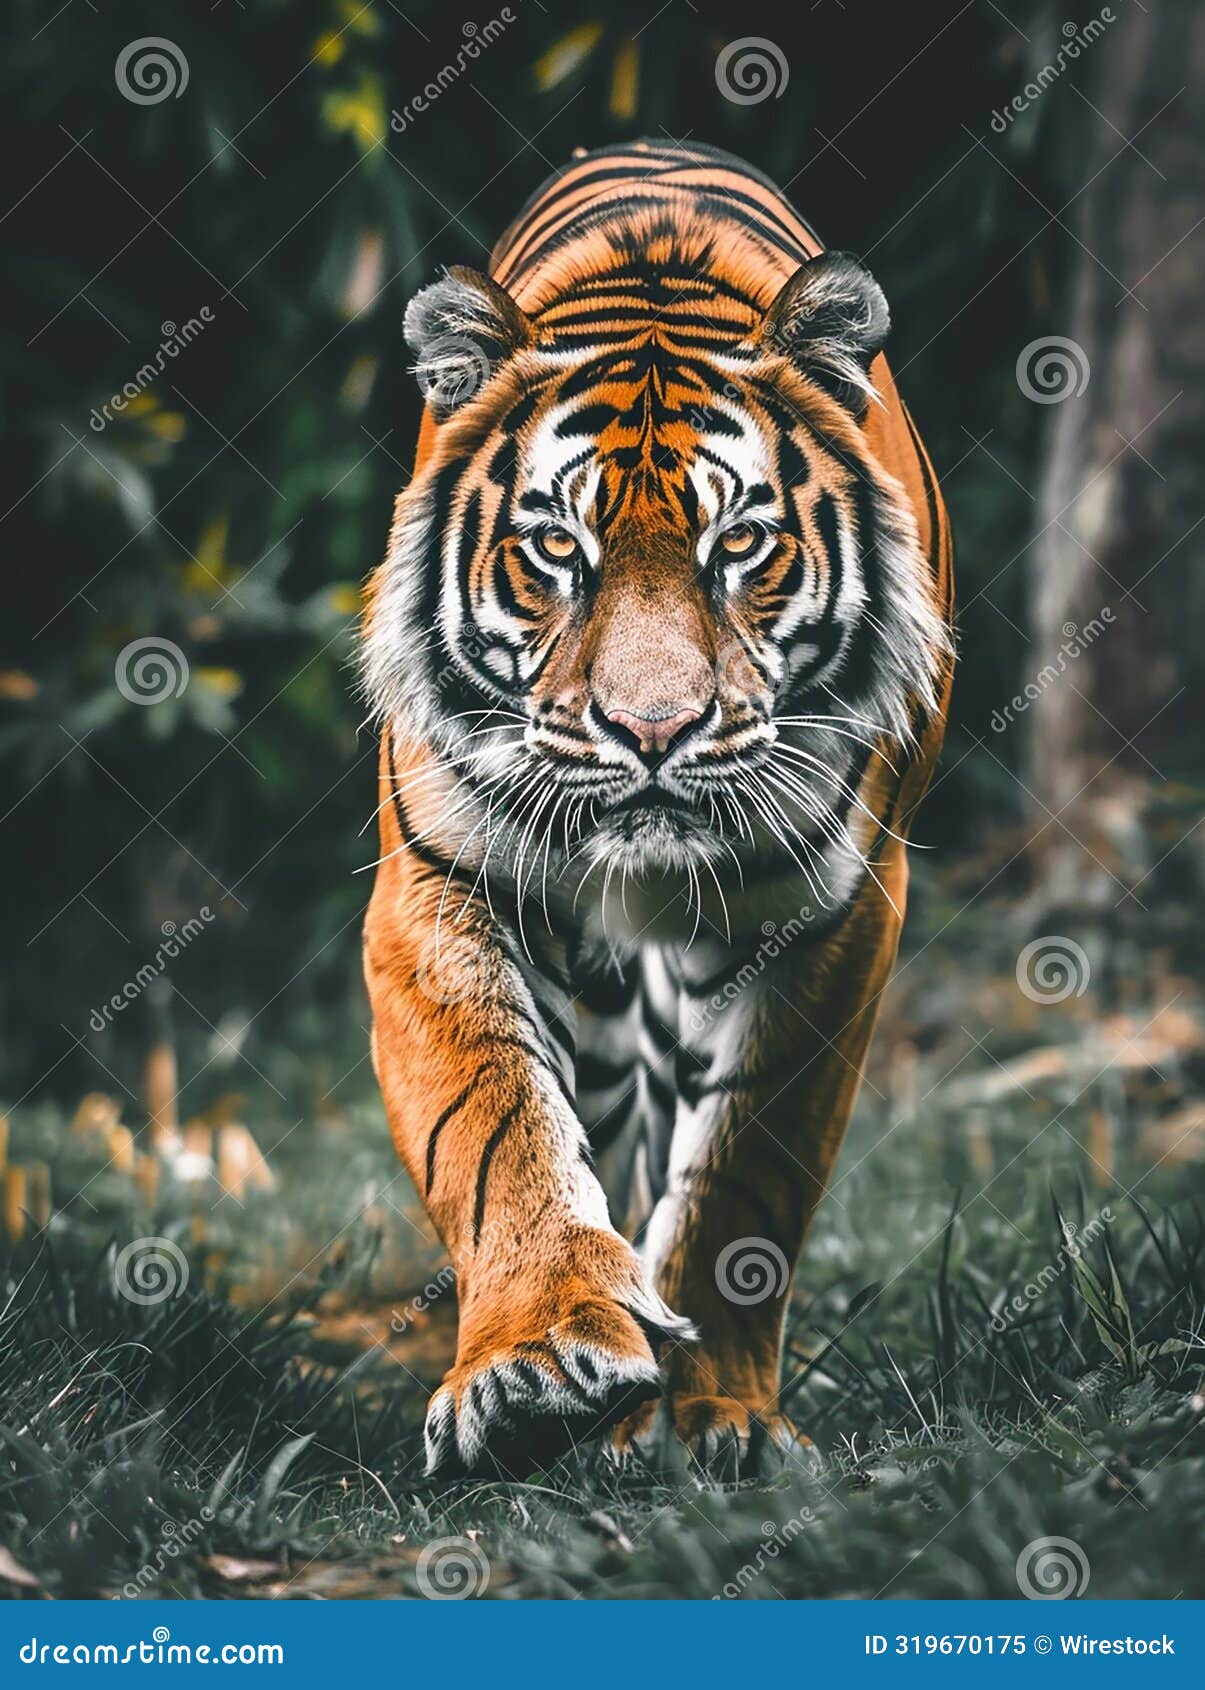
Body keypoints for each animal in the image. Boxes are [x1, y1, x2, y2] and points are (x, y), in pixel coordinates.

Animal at [361, 139, 954, 1478]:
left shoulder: (832, 914)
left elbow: (746, 1171)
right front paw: (534, 1361)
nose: (650, 731)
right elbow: (495, 1123)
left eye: (739, 544)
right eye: (554, 548)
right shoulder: (439, 883)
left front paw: (712, 1417)